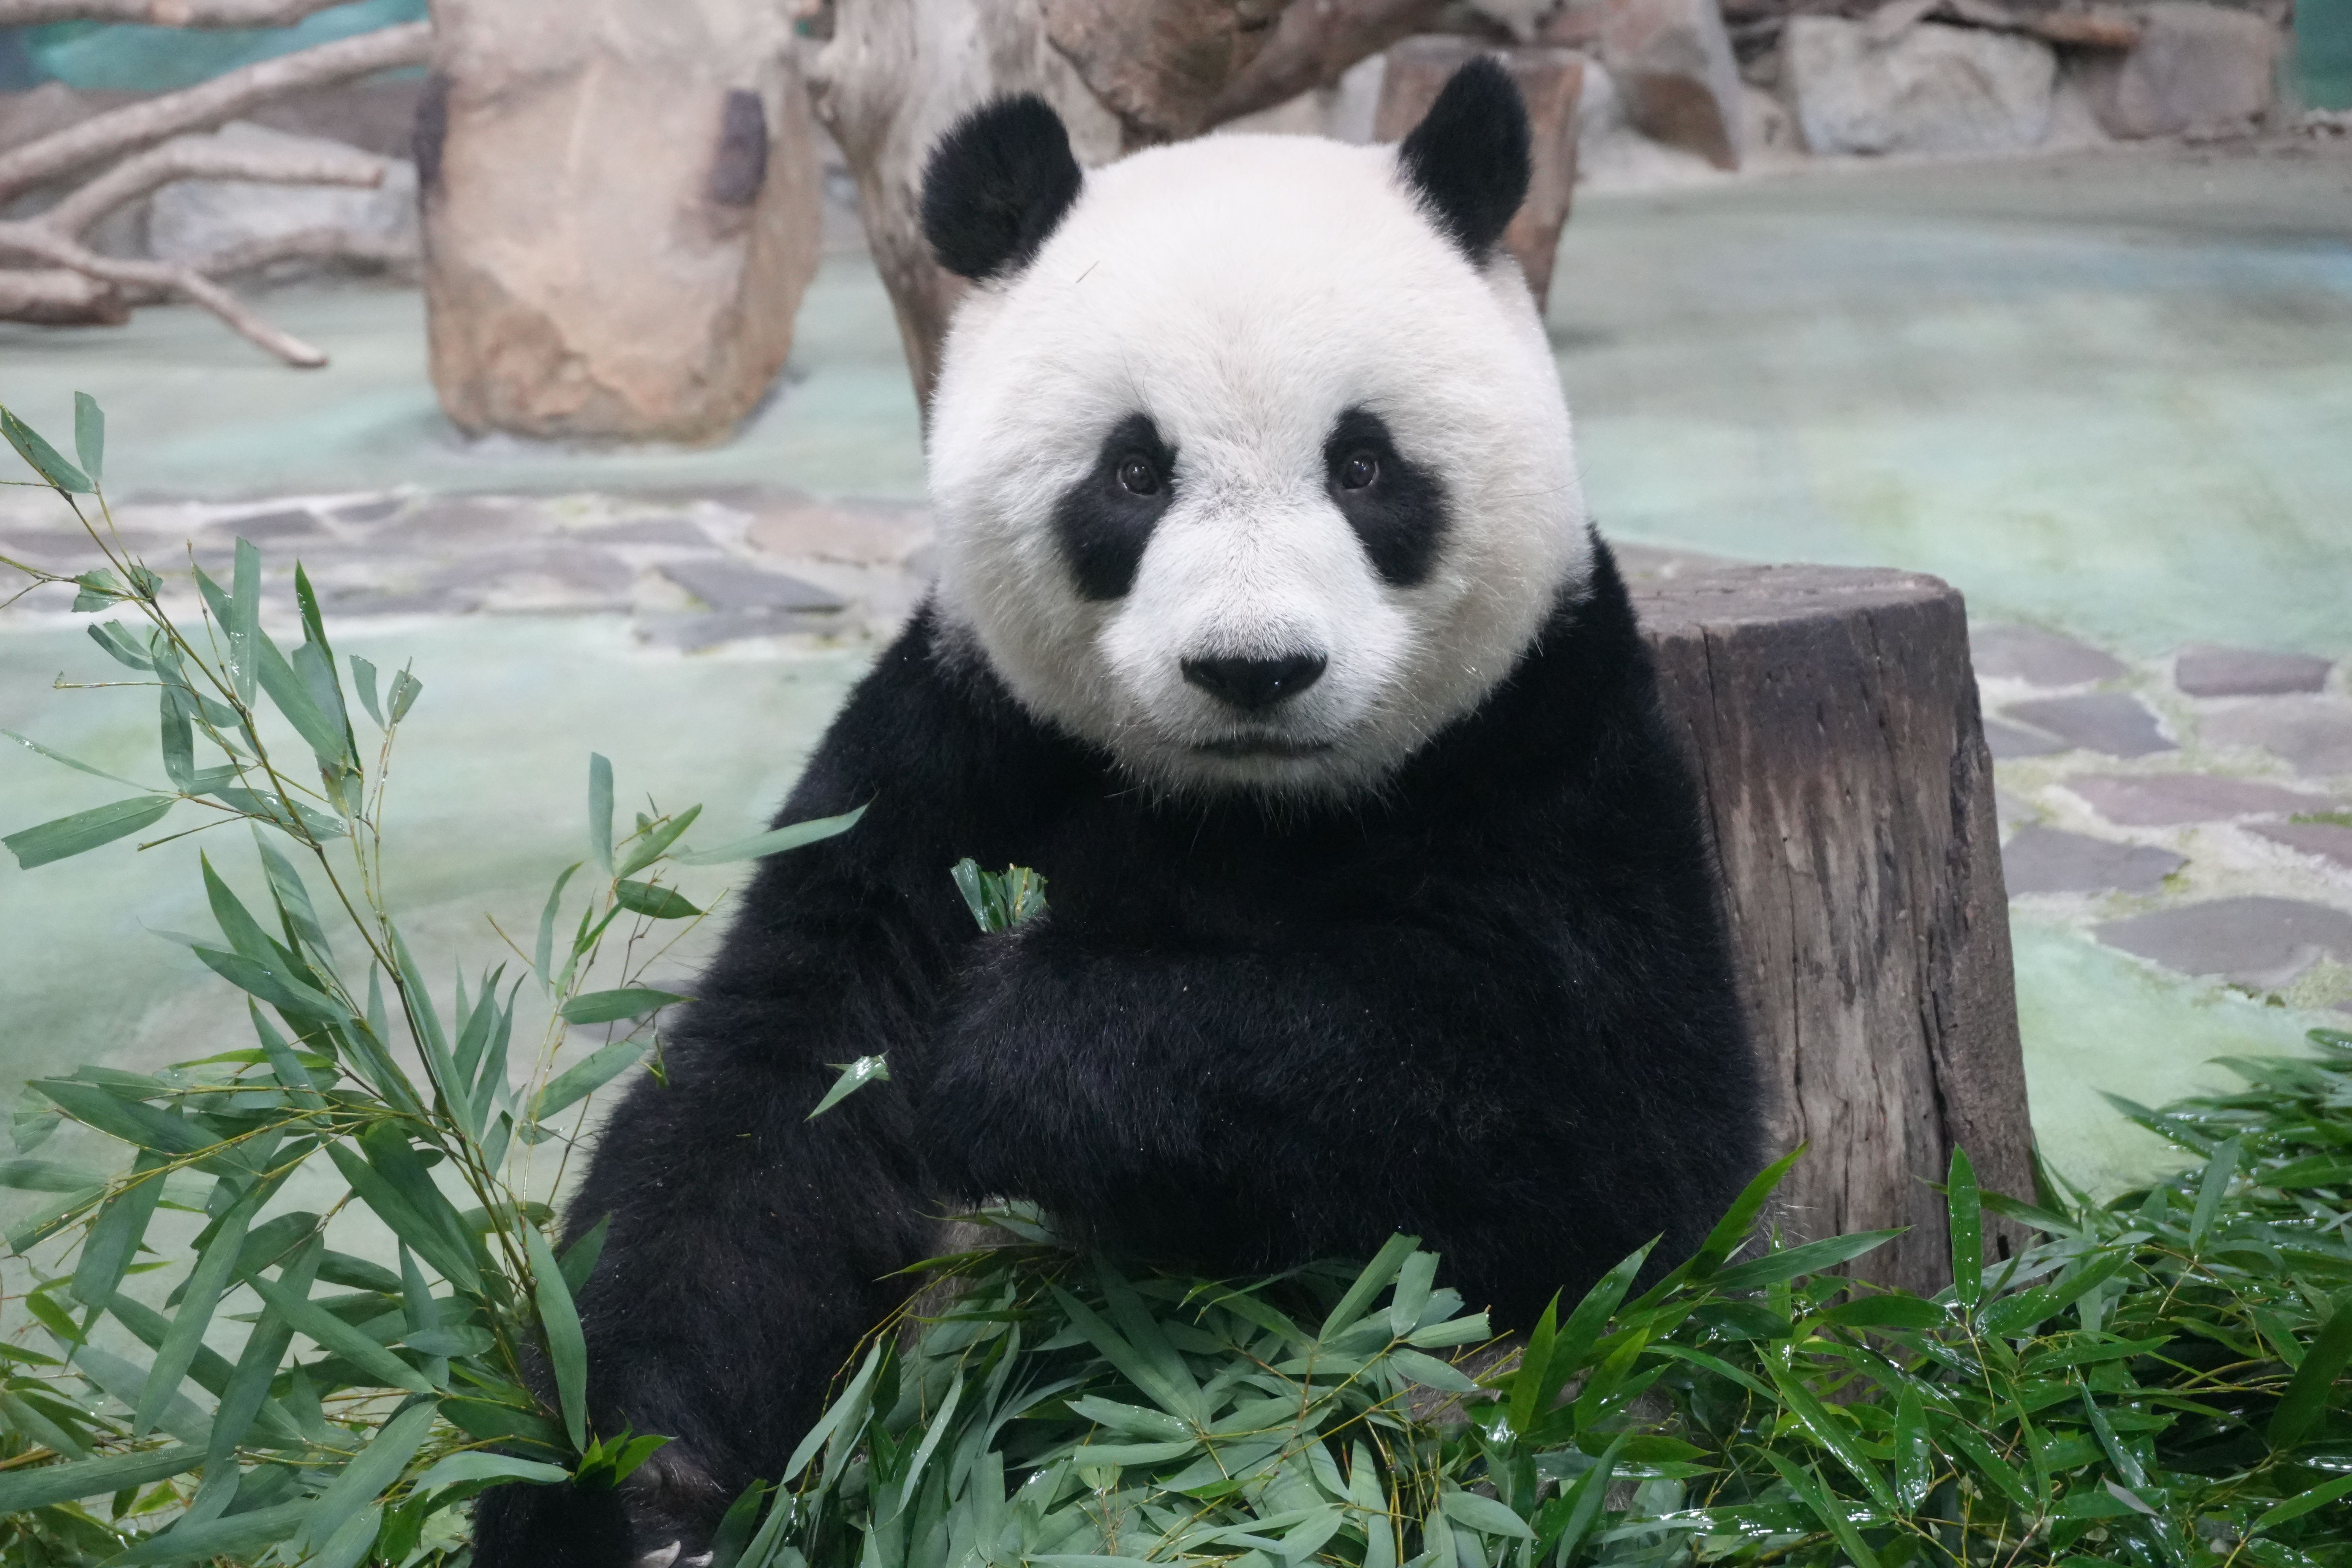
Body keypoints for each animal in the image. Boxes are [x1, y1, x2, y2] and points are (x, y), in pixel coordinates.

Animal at [474, 60, 1759, 1568]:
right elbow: (759, 1110)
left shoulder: (1544, 737)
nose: (1252, 667)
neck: (1245, 804)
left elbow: (1609, 1125)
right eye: (1134, 472)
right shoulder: (964, 754)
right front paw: (618, 1495)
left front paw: (1024, 1048)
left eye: (1364, 466)